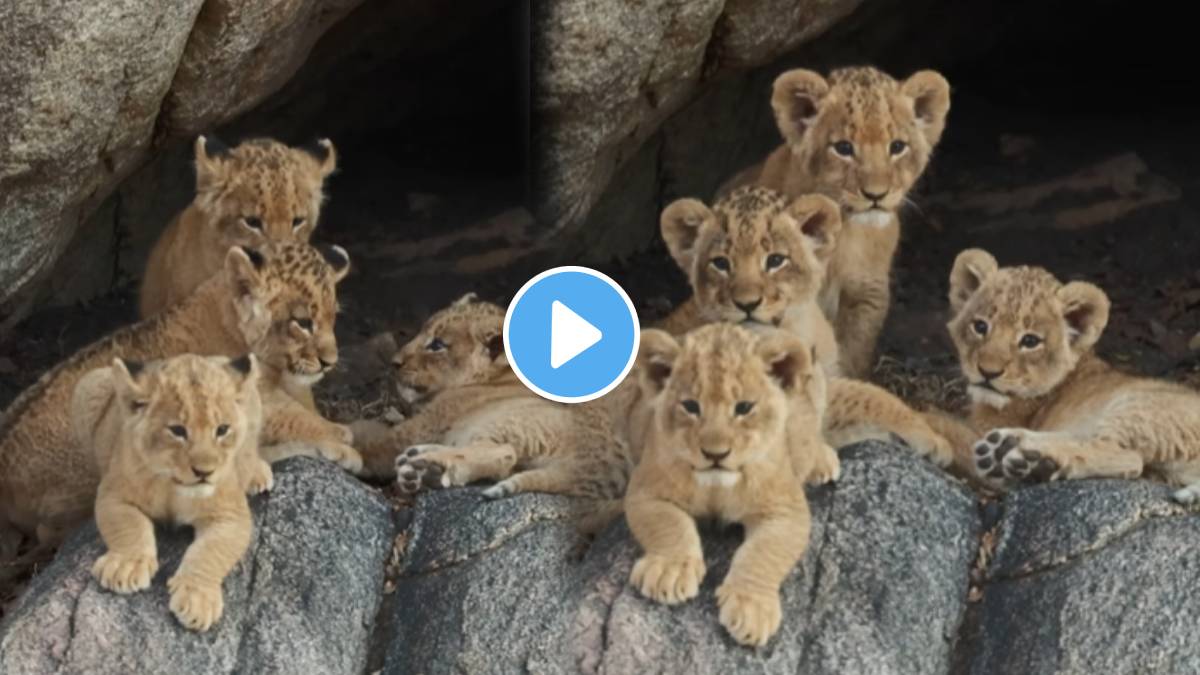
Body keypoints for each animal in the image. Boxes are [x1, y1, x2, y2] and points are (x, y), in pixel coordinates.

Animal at [82, 354, 266, 632]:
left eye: (222, 429)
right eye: (178, 430)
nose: (204, 471)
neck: (173, 487)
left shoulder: (231, 515)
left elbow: (211, 552)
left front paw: (198, 599)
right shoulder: (112, 493)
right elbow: (128, 525)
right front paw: (127, 566)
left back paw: (257, 473)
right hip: (89, 383)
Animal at [625, 323, 829, 647]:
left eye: (744, 407)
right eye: (690, 406)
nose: (715, 454)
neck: (717, 487)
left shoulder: (786, 510)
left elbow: (764, 552)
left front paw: (751, 608)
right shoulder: (645, 490)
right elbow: (668, 524)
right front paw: (670, 571)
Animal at [720, 66, 951, 377]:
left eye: (897, 147)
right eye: (843, 147)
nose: (876, 195)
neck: (844, 231)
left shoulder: (867, 293)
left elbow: (853, 351)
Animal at [945, 248, 1200, 499]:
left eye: (1030, 341)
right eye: (980, 326)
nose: (988, 372)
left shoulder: (981, 428)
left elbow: (946, 426)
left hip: (1136, 407)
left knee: (1126, 457)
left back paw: (1012, 449)